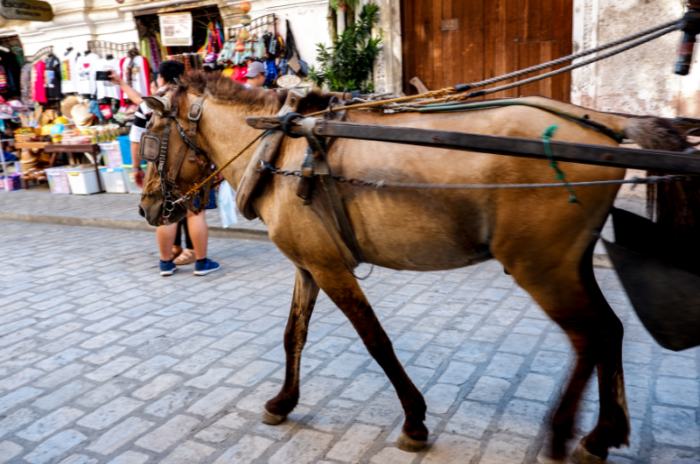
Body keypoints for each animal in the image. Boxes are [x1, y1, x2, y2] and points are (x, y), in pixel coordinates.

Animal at [138, 72, 687, 463]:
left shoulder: (333, 270)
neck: (280, 147)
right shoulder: (311, 264)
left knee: (588, 337)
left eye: (151, 140)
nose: (146, 207)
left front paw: (415, 422)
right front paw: (283, 402)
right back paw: (603, 435)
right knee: (609, 330)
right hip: (570, 264)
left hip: (541, 268)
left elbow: (376, 341)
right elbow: (294, 334)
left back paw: (563, 435)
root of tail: (603, 124)